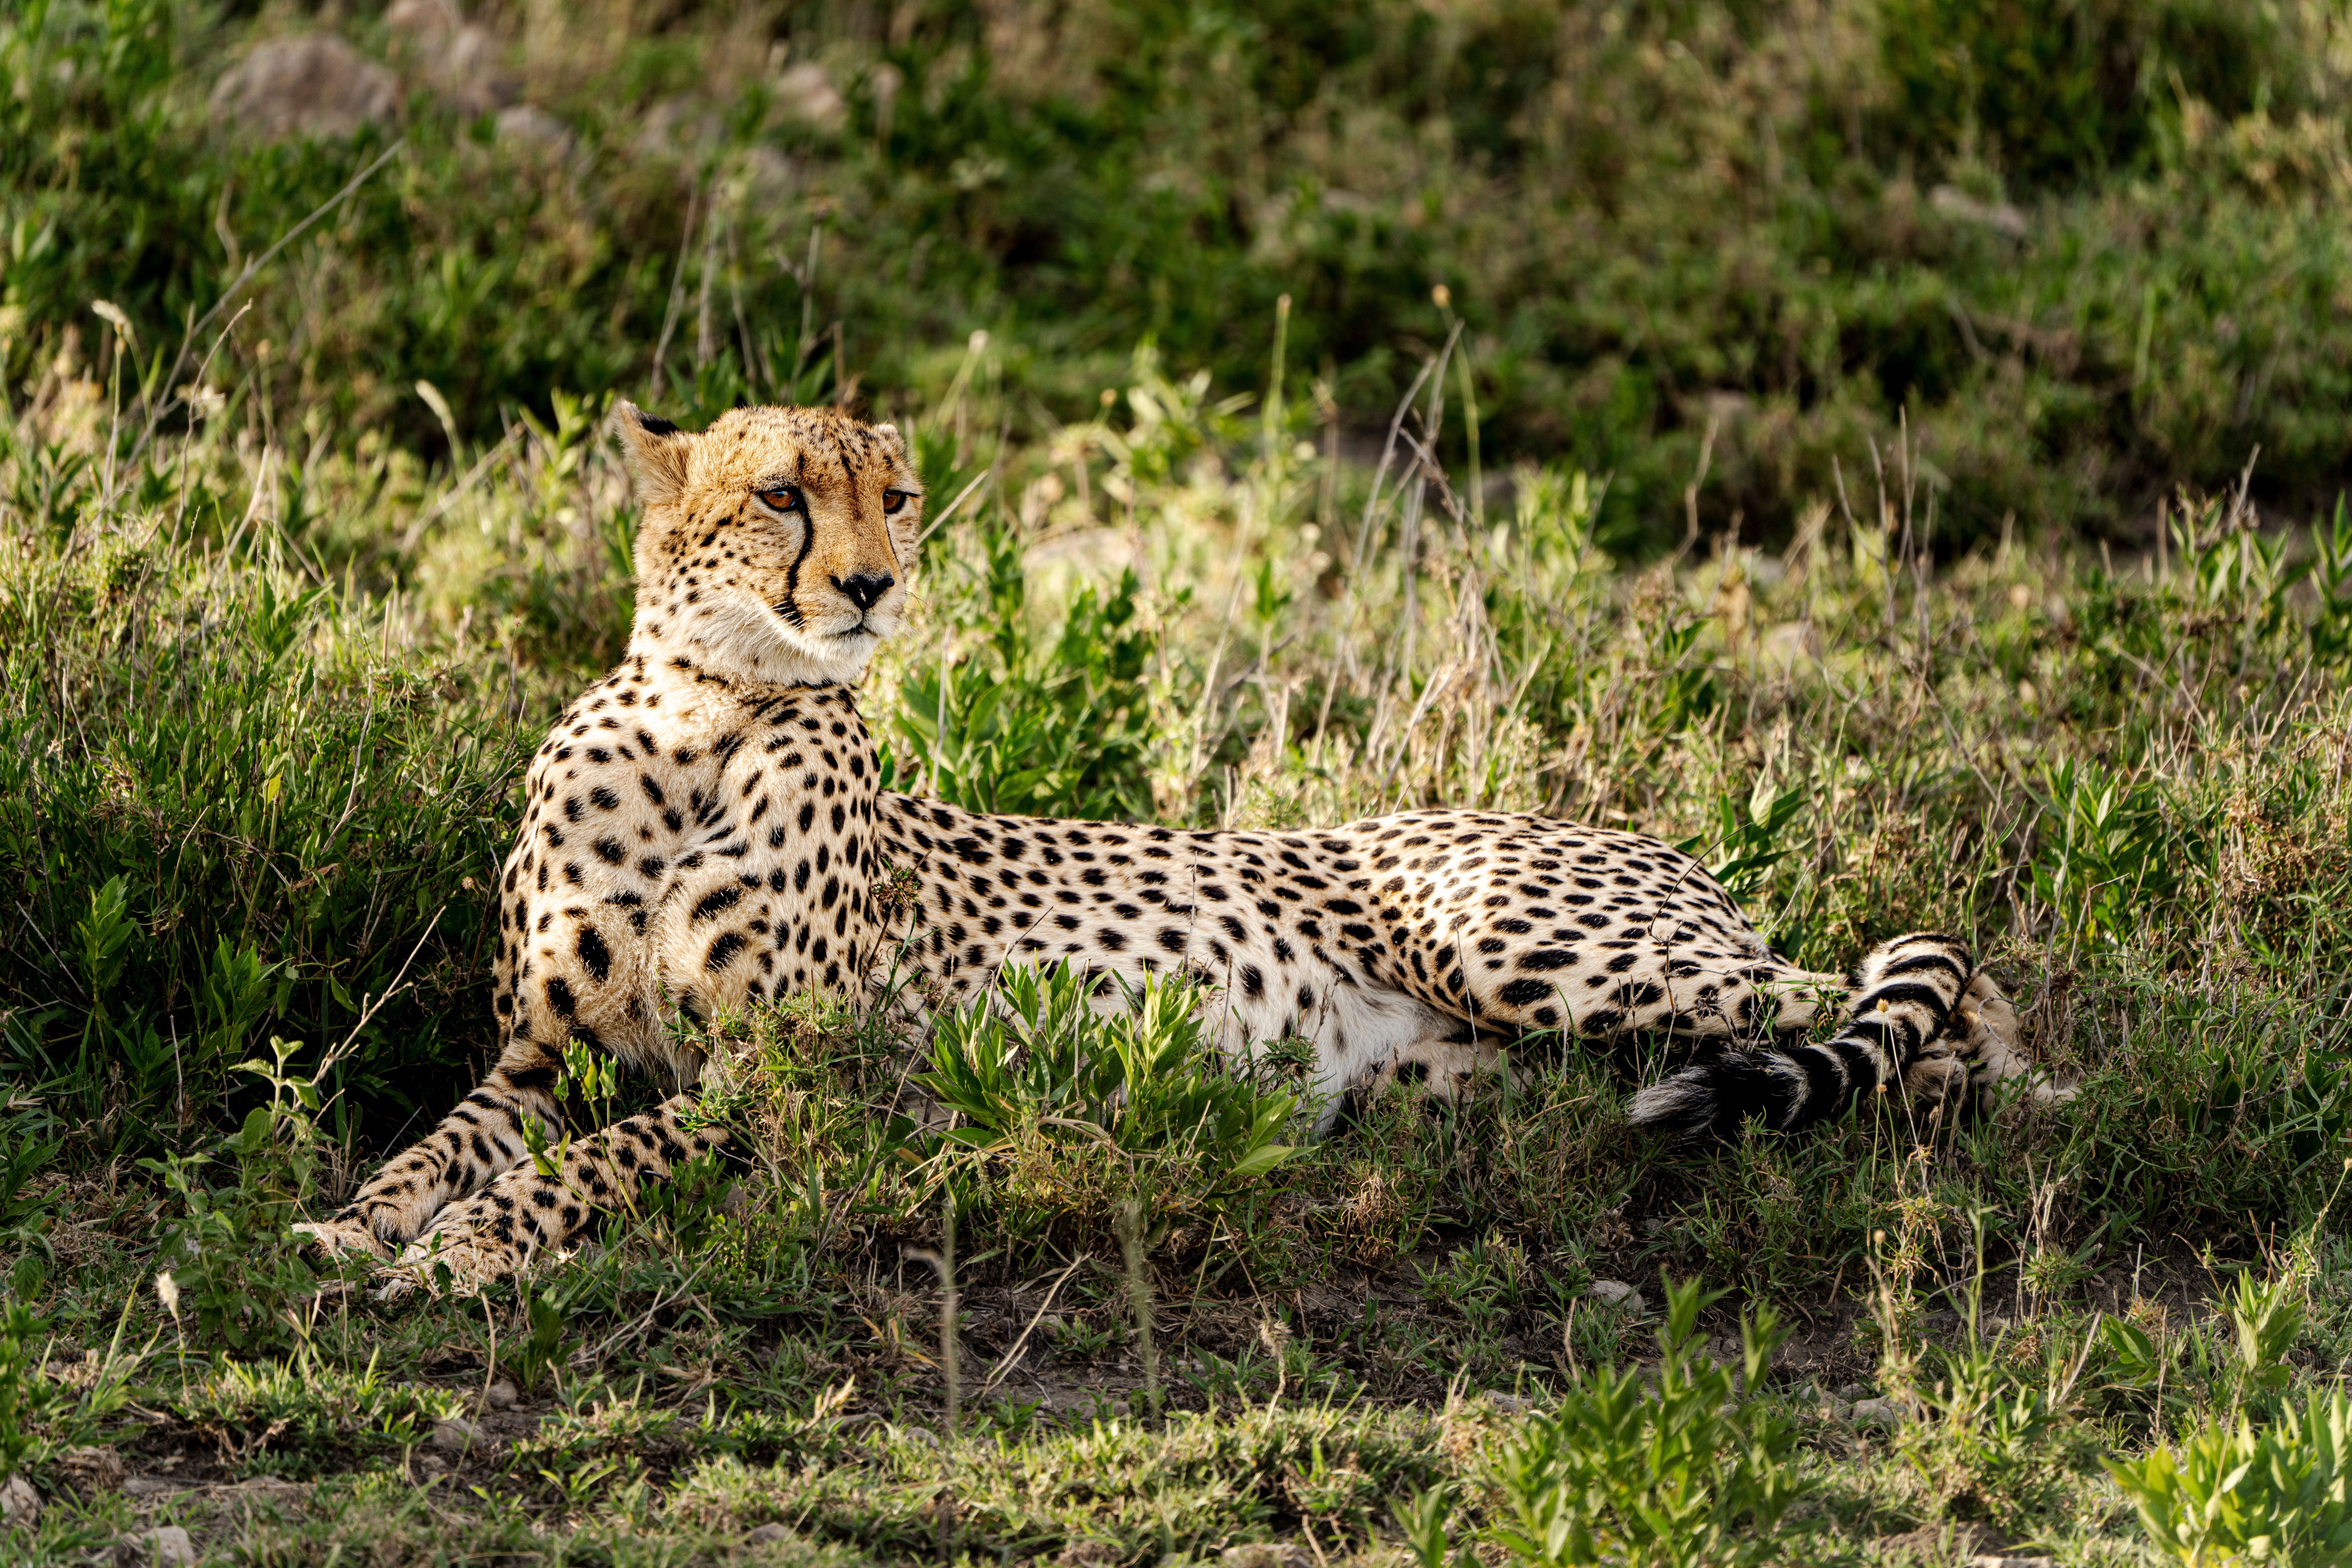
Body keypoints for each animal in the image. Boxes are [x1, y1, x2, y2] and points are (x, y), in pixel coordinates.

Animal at [296, 401, 2057, 1294]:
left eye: (898, 497)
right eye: (785, 495)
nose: (870, 585)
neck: (705, 715)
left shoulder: (796, 1082)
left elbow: (586, 1165)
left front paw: (466, 1254)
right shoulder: (546, 1054)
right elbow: (449, 1140)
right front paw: (360, 1221)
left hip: (1538, 948)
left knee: (1899, 979)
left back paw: (2002, 1096)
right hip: (1471, 1074)